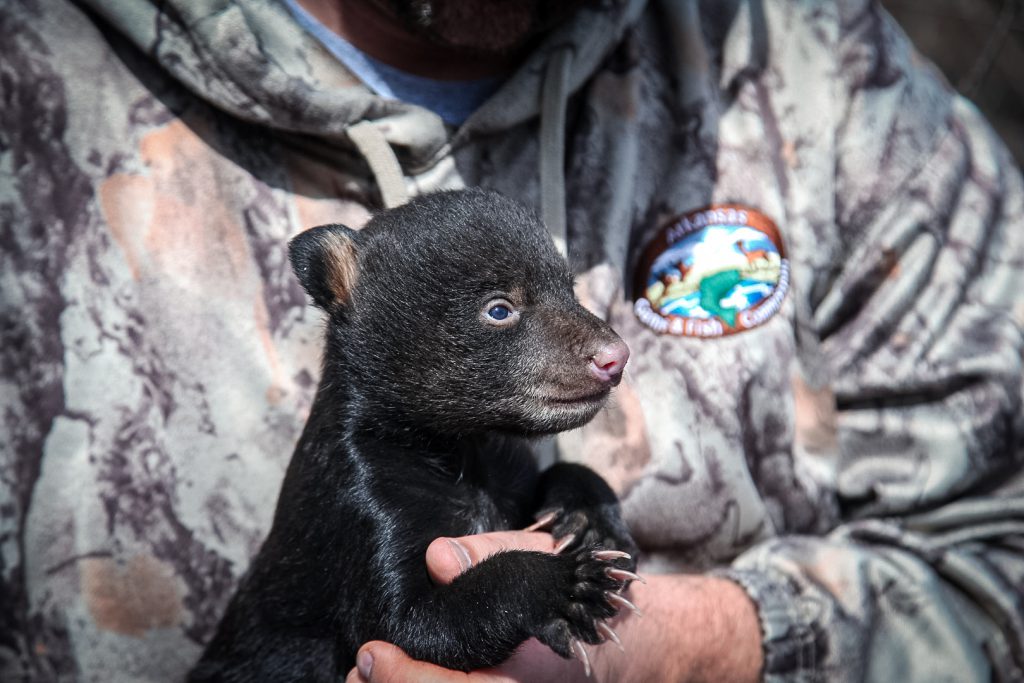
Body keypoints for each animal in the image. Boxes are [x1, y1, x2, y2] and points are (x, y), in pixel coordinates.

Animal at [190, 189, 640, 682]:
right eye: (499, 308)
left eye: (570, 290)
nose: (615, 356)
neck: (458, 447)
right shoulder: (362, 499)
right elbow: (409, 625)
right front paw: (570, 588)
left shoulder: (503, 467)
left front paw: (590, 519)